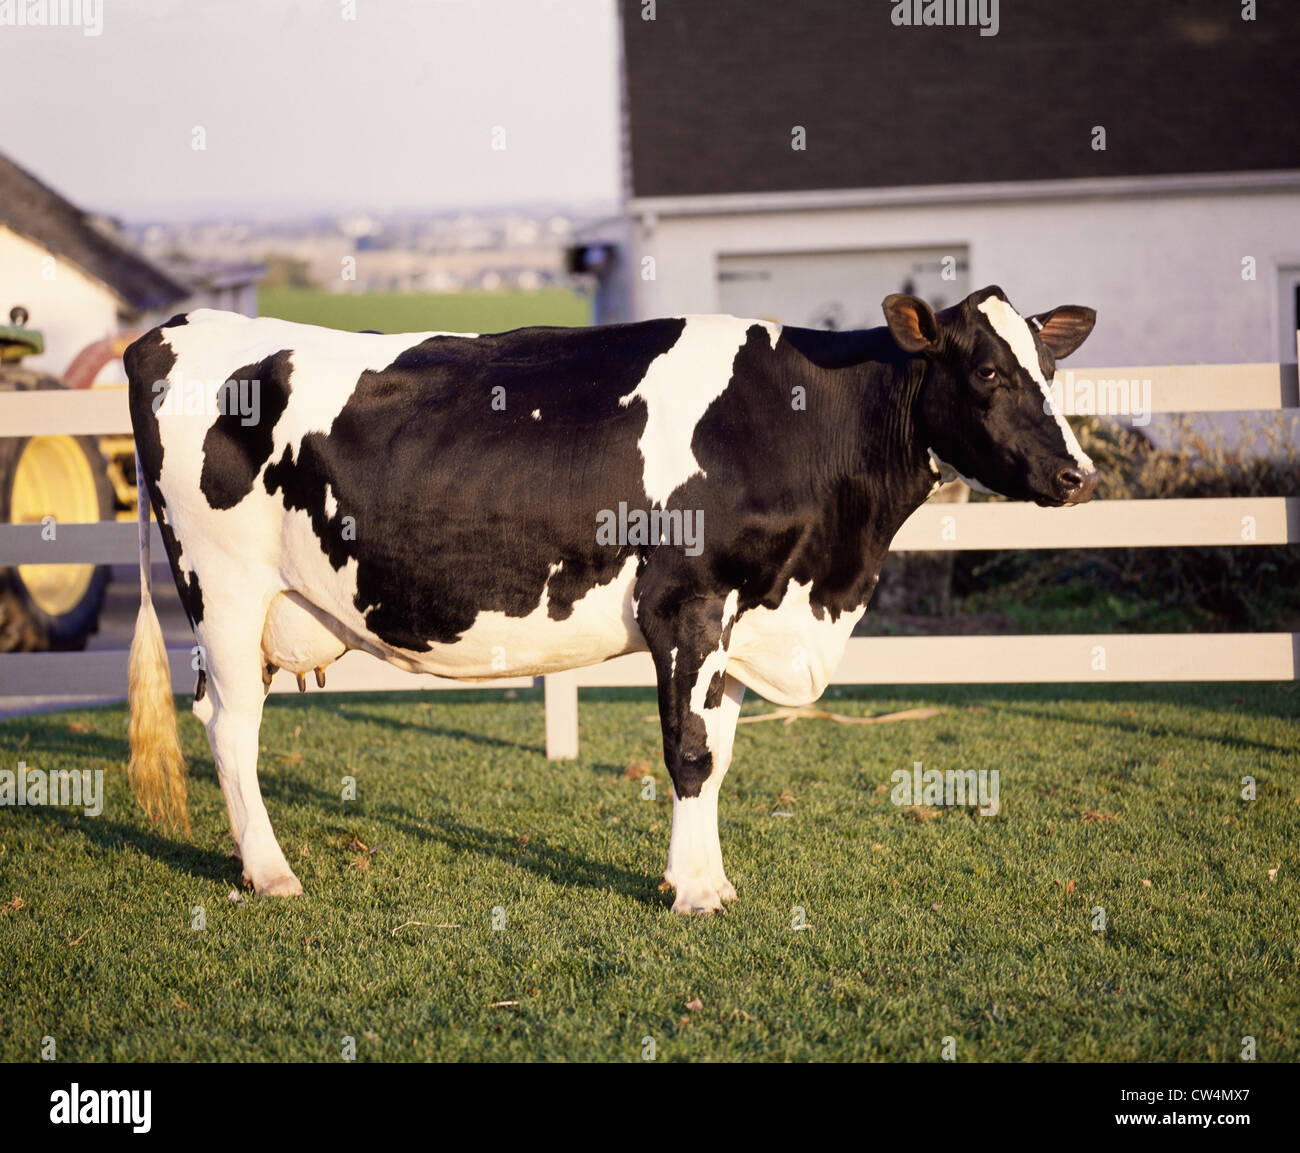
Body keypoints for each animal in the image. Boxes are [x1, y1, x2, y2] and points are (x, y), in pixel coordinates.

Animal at [123, 285, 1097, 913]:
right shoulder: (688, 602)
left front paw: (706, 877)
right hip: (222, 588)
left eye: (1051, 366)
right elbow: (691, 753)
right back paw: (270, 873)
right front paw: (695, 893)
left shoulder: (742, 617)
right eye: (986, 373)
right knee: (232, 726)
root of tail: (171, 331)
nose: (1079, 474)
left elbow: (722, 755)